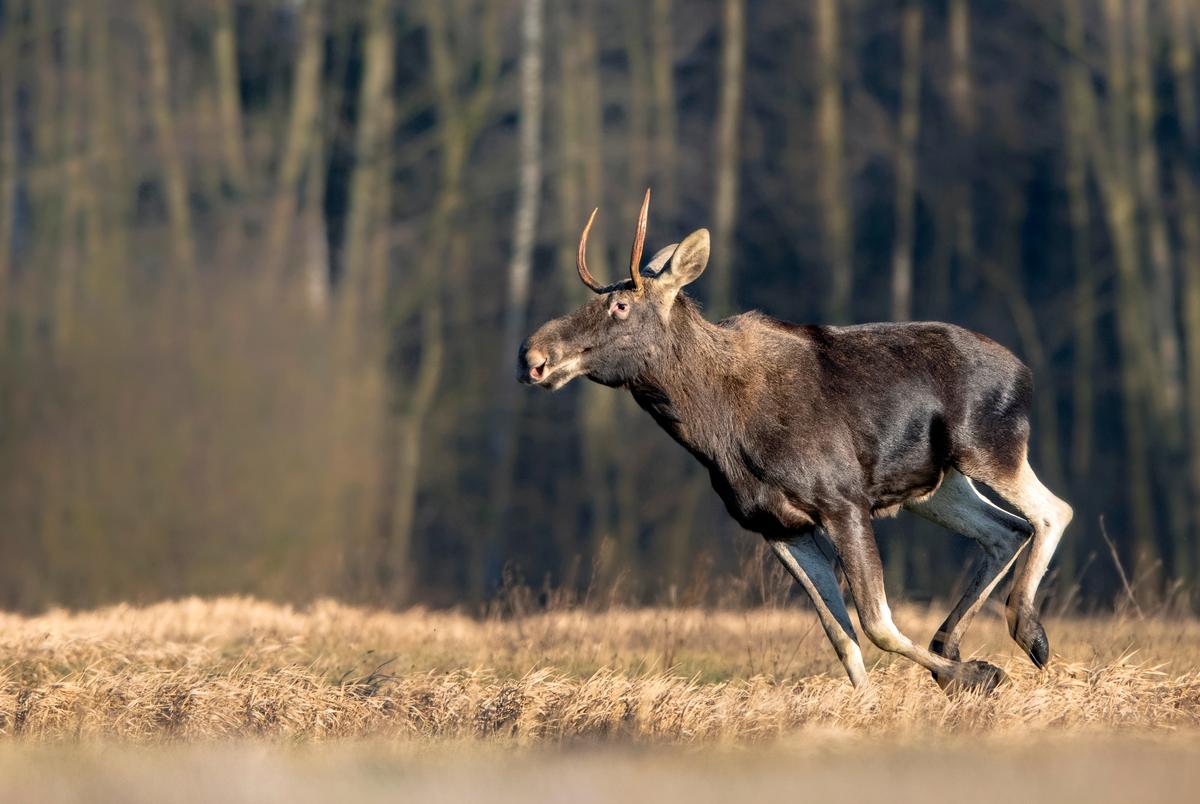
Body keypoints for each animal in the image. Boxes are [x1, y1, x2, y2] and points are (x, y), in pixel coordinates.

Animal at [518, 189, 1073, 692]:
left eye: (620, 304)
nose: (532, 355)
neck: (715, 432)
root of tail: (1026, 374)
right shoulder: (774, 525)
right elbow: (840, 636)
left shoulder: (842, 501)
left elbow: (878, 624)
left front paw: (981, 674)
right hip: (935, 486)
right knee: (1005, 529)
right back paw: (955, 642)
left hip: (989, 445)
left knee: (1052, 511)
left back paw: (1028, 635)